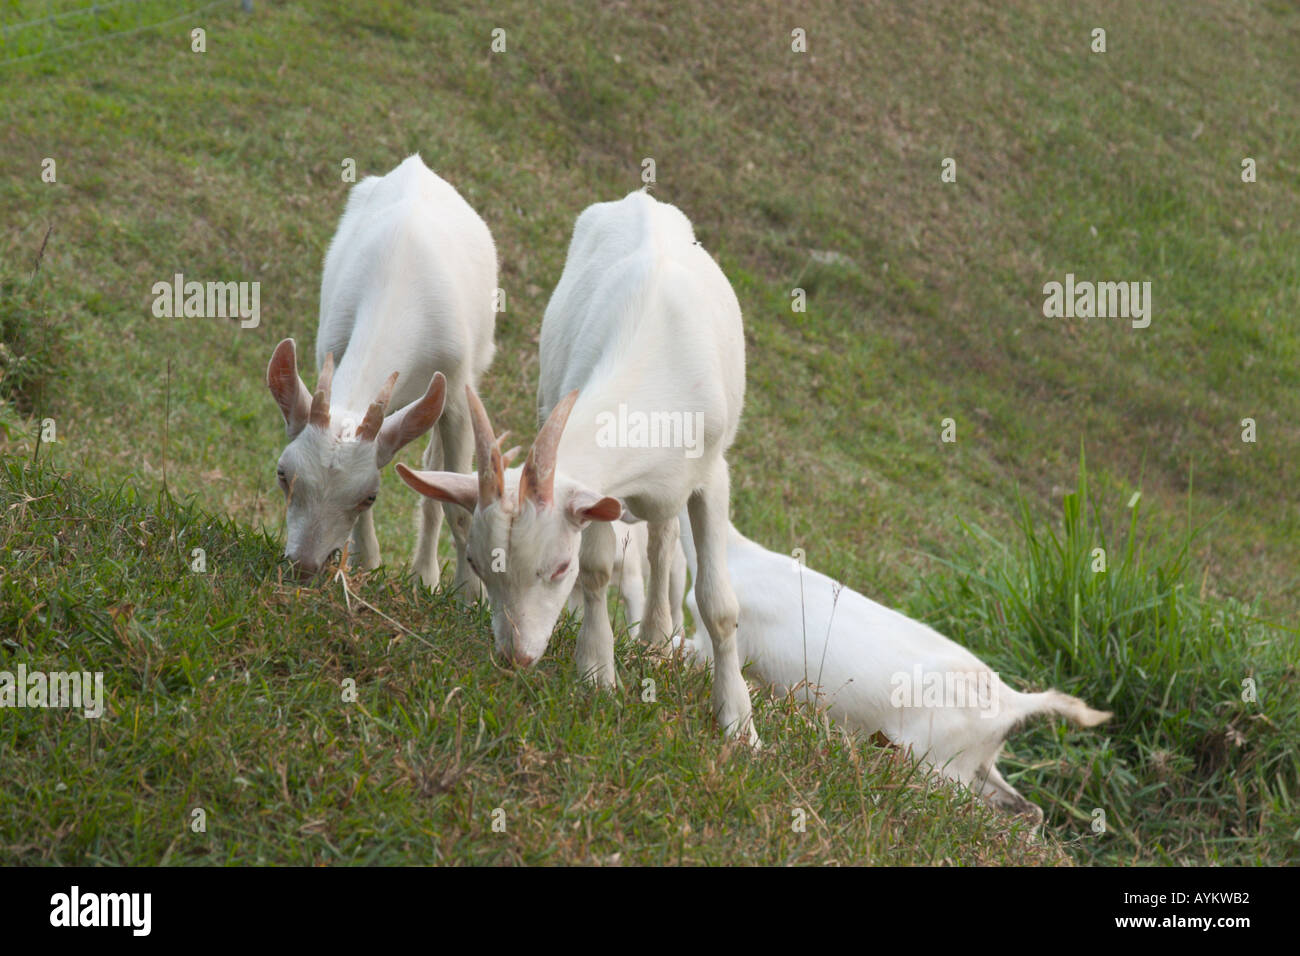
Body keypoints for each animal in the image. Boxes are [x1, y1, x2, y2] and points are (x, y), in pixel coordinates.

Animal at [265, 155, 497, 592]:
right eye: (283, 474)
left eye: (368, 495)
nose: (304, 566)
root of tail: (417, 164)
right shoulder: (333, 350)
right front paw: (366, 564)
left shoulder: (457, 389)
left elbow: (460, 506)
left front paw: (468, 593)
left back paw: (426, 575)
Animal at [396, 190, 758, 743]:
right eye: (477, 564)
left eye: (557, 568)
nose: (516, 657)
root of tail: (640, 197)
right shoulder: (597, 490)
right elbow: (599, 570)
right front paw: (596, 673)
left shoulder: (712, 476)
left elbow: (718, 604)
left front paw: (739, 724)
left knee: (664, 541)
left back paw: (657, 638)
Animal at [678, 518, 1110, 819]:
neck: (738, 555)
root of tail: (1014, 703)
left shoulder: (716, 647)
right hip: (978, 765)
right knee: (1027, 810)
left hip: (936, 764)